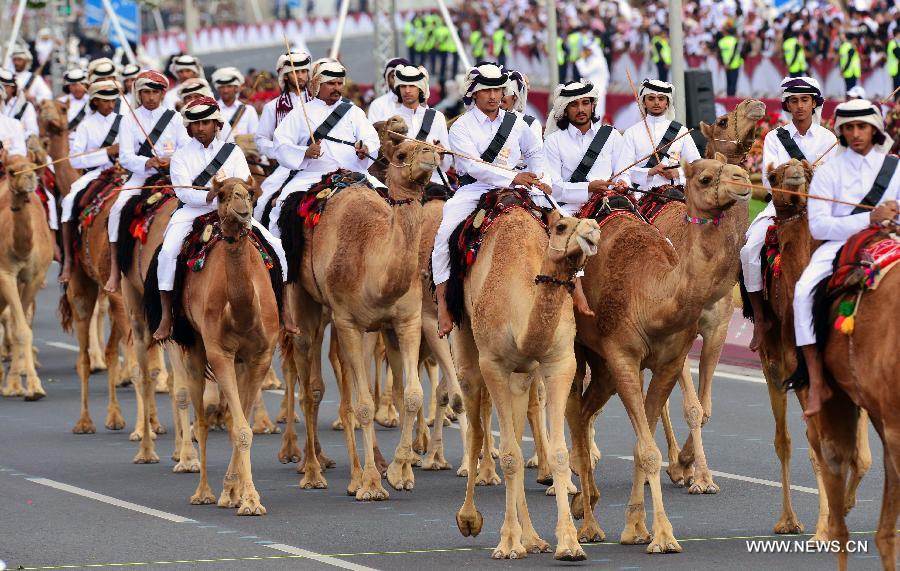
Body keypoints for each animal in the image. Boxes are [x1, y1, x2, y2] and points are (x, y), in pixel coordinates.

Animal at [156, 176, 278, 515]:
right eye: (222, 194)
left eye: (250, 193)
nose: (242, 209)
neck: (241, 313)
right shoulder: (219, 352)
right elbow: (238, 427)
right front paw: (247, 499)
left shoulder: (260, 355)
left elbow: (242, 425)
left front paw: (240, 496)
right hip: (195, 348)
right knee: (200, 419)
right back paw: (203, 492)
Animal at [280, 139, 440, 499]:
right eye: (400, 154)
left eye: (428, 145)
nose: (431, 153)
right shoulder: (348, 323)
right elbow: (363, 404)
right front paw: (370, 485)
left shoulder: (406, 321)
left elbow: (411, 395)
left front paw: (399, 472)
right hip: (306, 304)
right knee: (311, 386)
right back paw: (313, 470)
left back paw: (370, 466)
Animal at [451, 197, 600, 560]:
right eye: (561, 226)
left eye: (591, 222)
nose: (594, 231)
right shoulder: (494, 364)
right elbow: (507, 456)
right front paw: (506, 543)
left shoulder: (559, 361)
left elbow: (558, 454)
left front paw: (569, 544)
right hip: (467, 348)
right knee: (477, 428)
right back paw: (470, 518)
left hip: (523, 376)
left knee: (518, 436)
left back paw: (532, 539)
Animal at [568, 154, 751, 553]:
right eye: (705, 177)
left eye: (737, 167)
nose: (744, 180)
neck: (651, 297)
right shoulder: (623, 356)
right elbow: (649, 449)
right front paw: (664, 536)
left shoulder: (670, 361)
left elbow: (643, 446)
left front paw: (637, 527)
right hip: (575, 348)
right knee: (569, 408)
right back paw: (585, 522)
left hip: (602, 366)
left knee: (585, 411)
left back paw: (585, 502)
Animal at [652, 98, 766, 491]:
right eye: (722, 120)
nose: (756, 104)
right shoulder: (679, 329)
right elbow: (692, 406)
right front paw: (700, 476)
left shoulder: (717, 328)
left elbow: (706, 408)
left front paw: (687, 466)